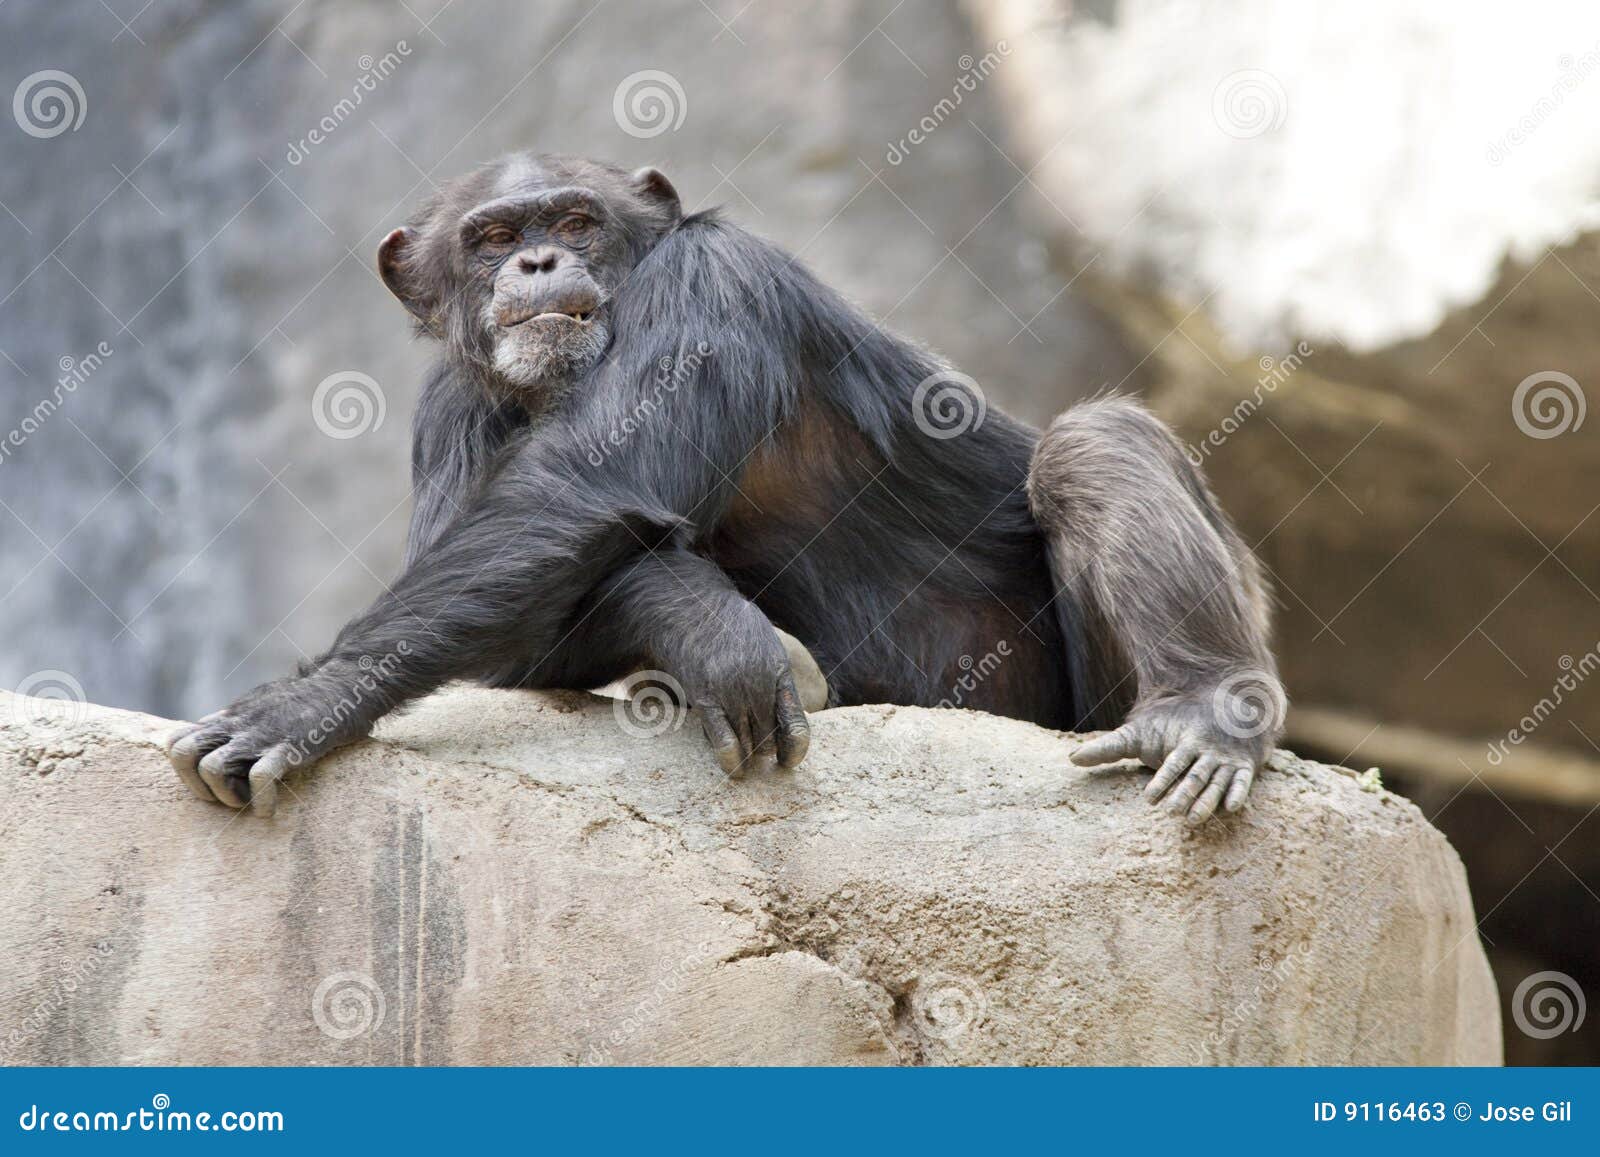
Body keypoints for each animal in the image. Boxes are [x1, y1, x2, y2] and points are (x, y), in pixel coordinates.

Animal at [166, 153, 1284, 824]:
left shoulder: (716, 279)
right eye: (488, 239)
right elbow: (534, 624)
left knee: (1096, 443)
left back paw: (1203, 709)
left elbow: (582, 487)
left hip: (1090, 709)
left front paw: (304, 700)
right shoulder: (452, 405)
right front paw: (711, 632)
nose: (538, 259)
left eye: (576, 217)